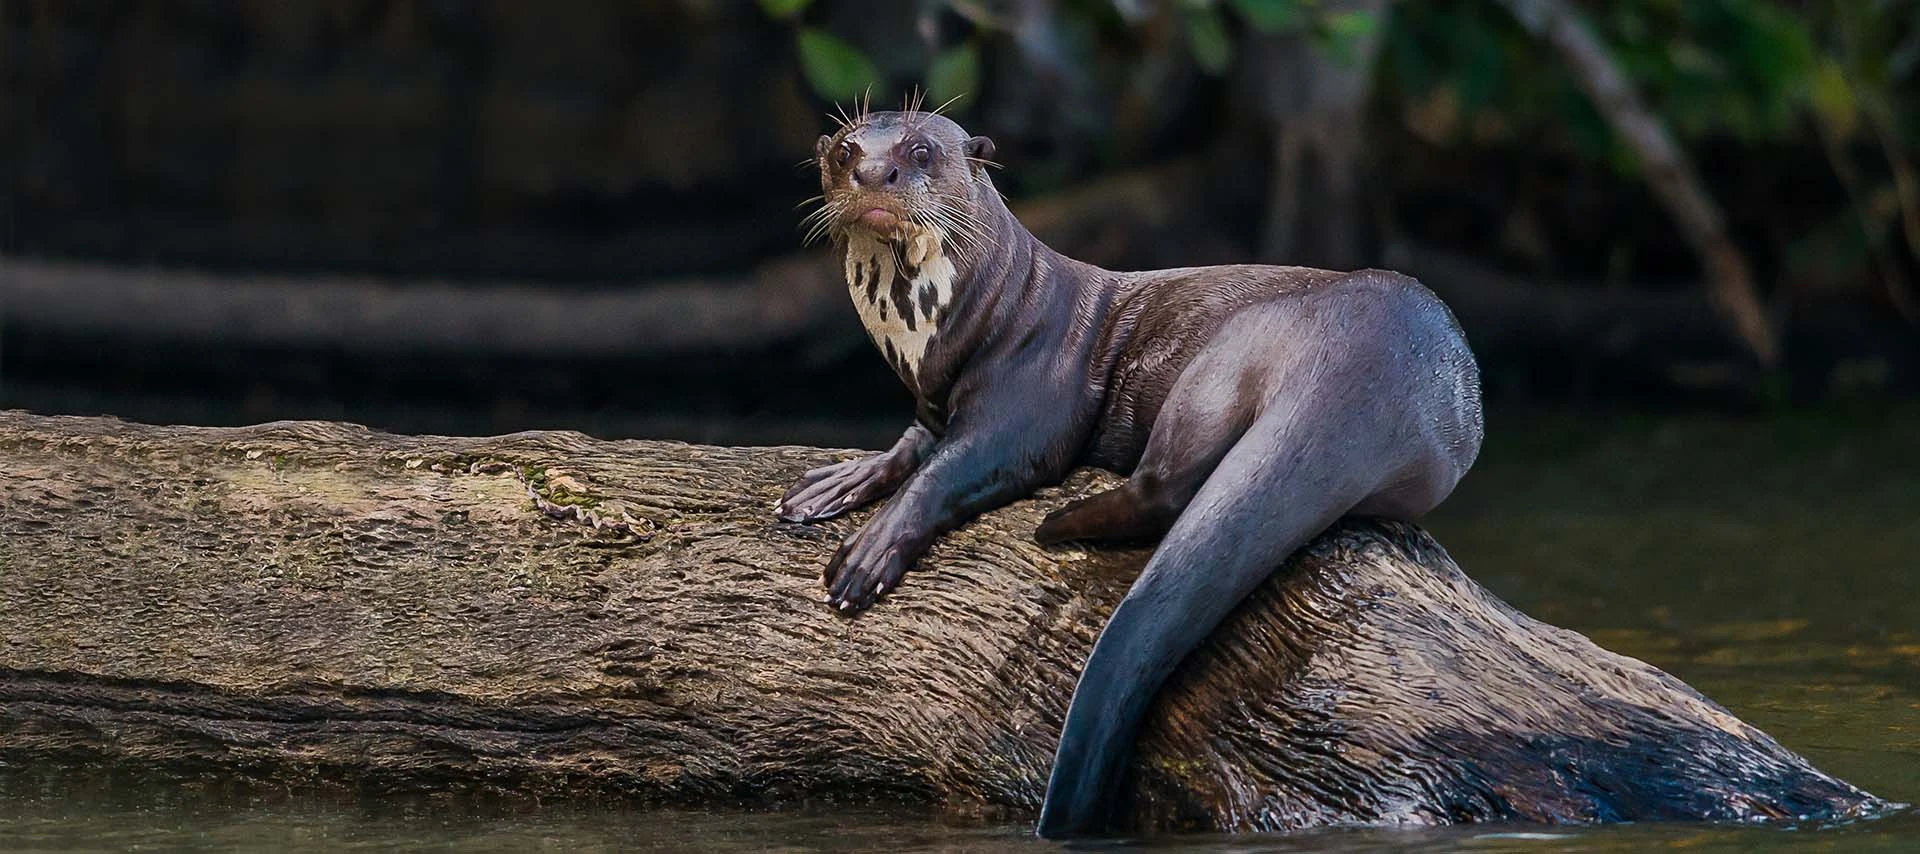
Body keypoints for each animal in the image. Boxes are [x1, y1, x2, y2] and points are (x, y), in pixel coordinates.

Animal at [776, 108, 1484, 837]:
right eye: (846, 151)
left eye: (920, 152)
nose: (873, 172)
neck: (975, 317)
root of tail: (1373, 364)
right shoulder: (931, 403)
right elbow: (910, 446)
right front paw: (836, 483)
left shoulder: (1032, 400)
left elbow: (957, 467)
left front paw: (871, 551)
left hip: (1231, 352)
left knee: (1166, 486)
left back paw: (1059, 524)